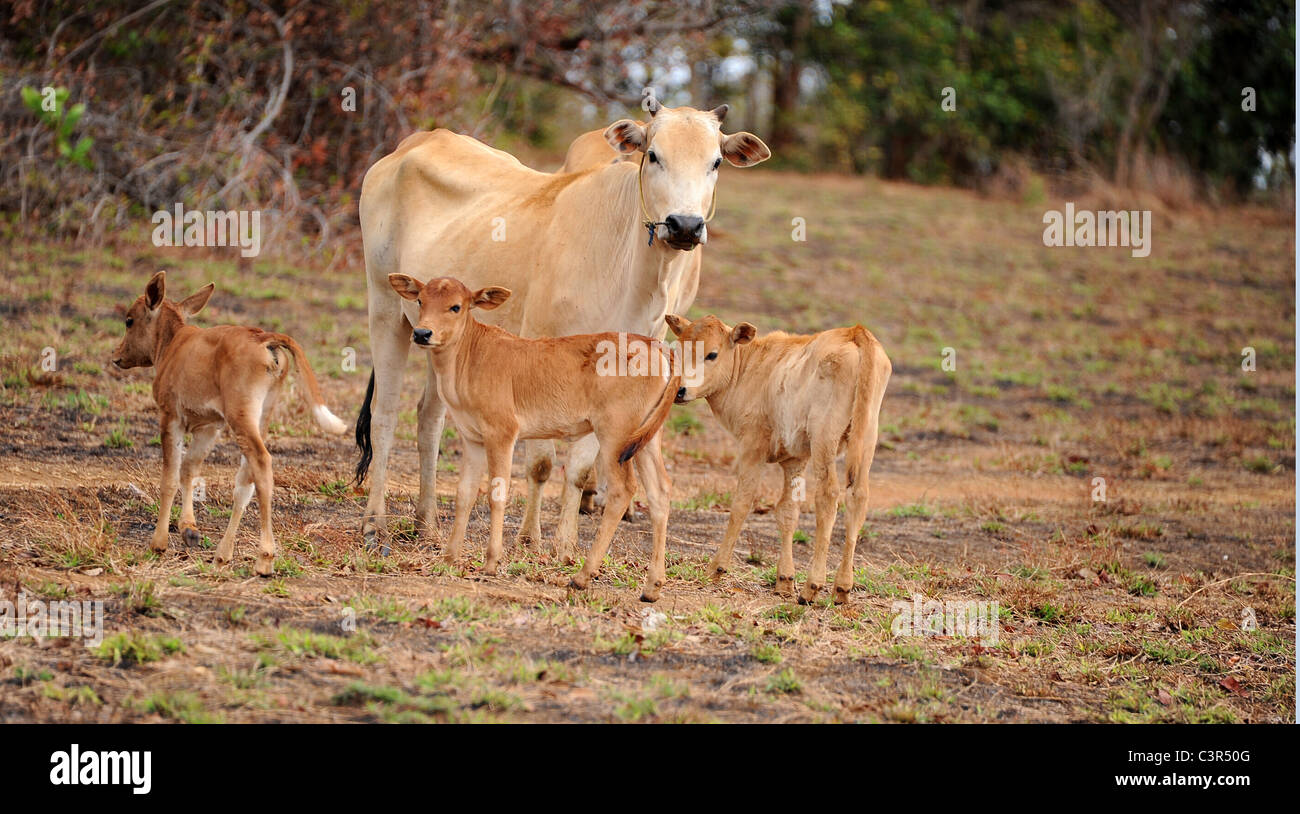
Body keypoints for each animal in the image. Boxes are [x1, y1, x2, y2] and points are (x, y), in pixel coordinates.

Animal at [111, 271, 349, 575]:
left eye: (129, 320)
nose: (117, 356)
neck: (172, 345)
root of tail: (265, 338)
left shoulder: (170, 415)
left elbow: (169, 476)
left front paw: (158, 542)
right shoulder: (210, 426)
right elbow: (189, 468)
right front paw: (189, 528)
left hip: (241, 415)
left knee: (261, 462)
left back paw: (264, 557)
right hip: (261, 415)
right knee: (245, 479)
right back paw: (224, 553)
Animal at [354, 102, 770, 557]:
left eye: (716, 162)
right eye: (653, 154)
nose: (684, 225)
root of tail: (417, 141)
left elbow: (581, 466)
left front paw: (566, 545)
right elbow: (540, 463)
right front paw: (529, 538)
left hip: (441, 343)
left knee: (429, 418)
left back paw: (427, 522)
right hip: (385, 305)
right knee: (384, 416)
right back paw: (374, 524)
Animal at [387, 274, 678, 601]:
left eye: (456, 306)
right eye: (420, 300)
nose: (422, 333)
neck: (471, 355)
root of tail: (657, 348)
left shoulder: (502, 433)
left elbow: (497, 494)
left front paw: (491, 562)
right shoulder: (472, 439)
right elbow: (465, 494)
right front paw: (449, 558)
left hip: (615, 435)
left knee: (623, 490)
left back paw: (582, 576)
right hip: (646, 438)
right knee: (660, 490)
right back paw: (651, 587)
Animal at [664, 314, 892, 605]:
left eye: (712, 354)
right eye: (678, 351)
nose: (680, 391)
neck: (748, 369)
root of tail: (856, 332)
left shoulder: (752, 446)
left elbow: (742, 503)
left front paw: (716, 568)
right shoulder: (795, 459)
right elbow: (787, 512)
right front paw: (784, 580)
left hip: (825, 437)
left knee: (828, 495)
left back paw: (813, 586)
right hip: (867, 438)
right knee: (858, 496)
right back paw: (841, 588)